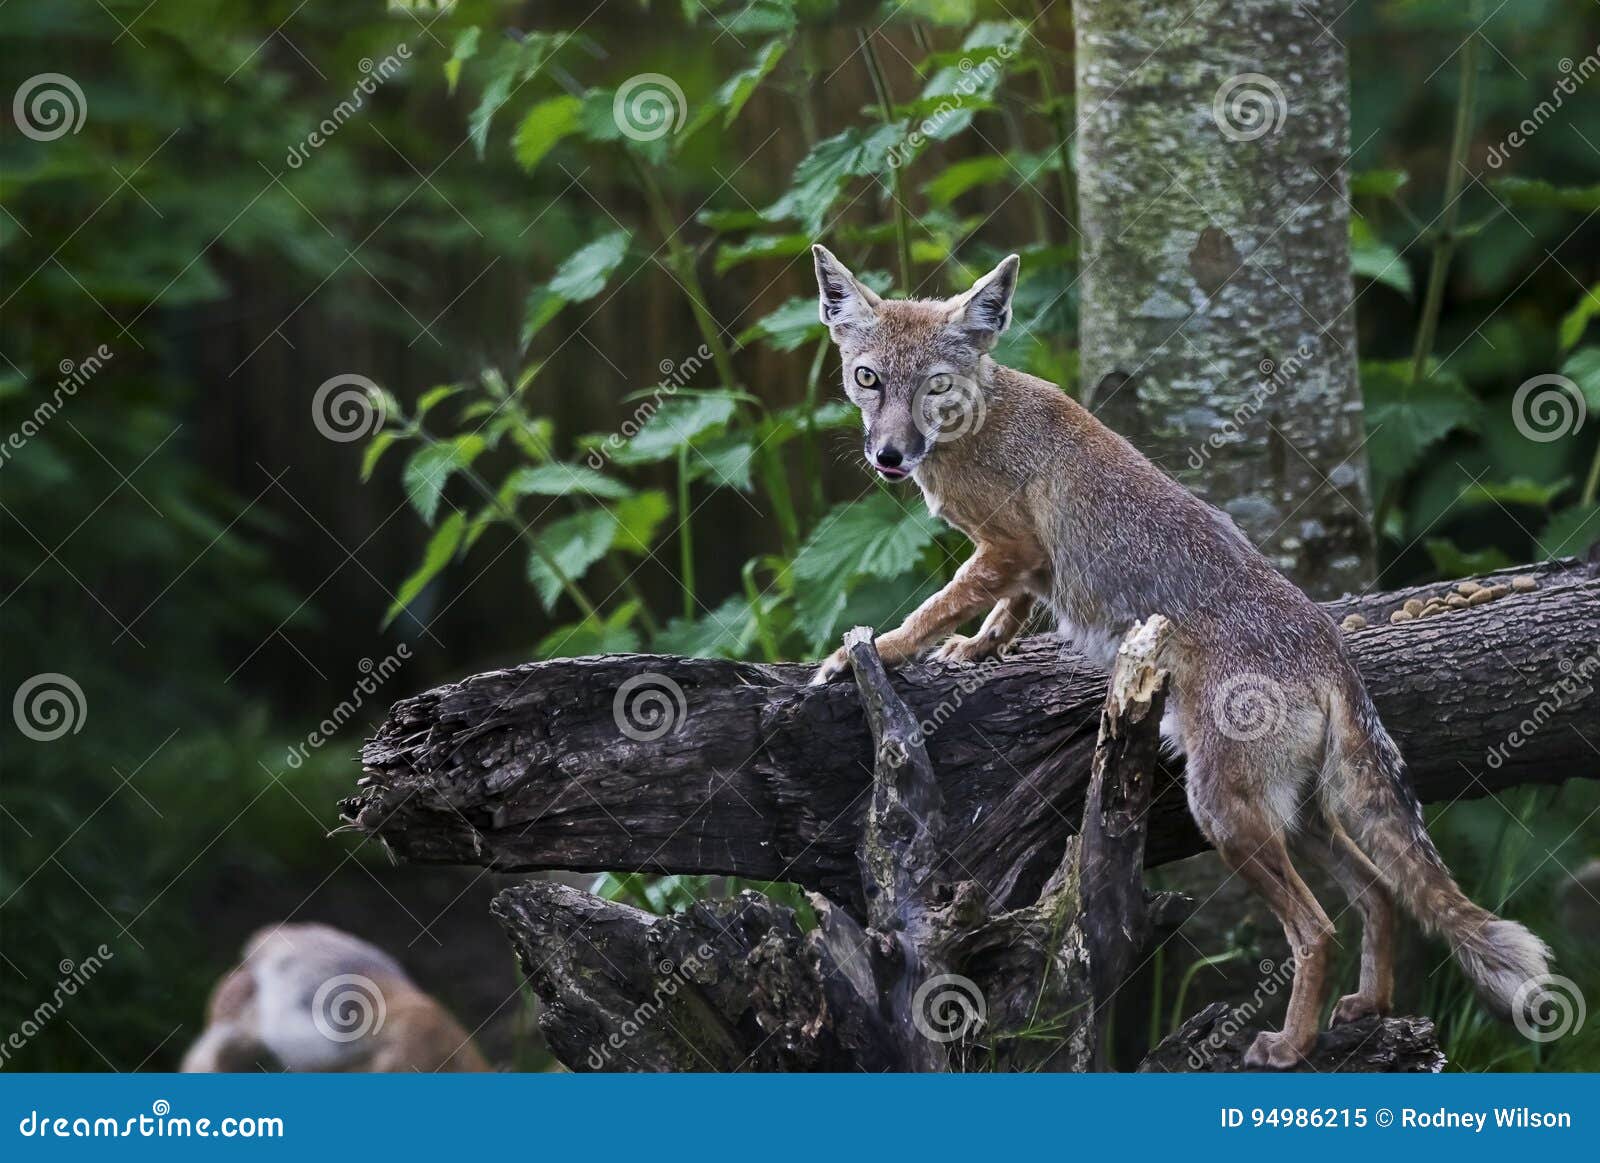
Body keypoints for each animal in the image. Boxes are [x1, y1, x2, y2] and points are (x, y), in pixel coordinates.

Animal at [807, 244, 1551, 1068]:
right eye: (868, 378)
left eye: (933, 386)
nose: (889, 455)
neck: (982, 422)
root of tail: (1329, 649)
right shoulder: (1028, 565)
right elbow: (1002, 613)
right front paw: (976, 649)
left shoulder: (1009, 548)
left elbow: (931, 608)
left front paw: (871, 653)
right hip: (1300, 817)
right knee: (1380, 894)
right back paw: (1370, 1006)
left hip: (1224, 813)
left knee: (1317, 928)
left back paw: (1290, 1045)